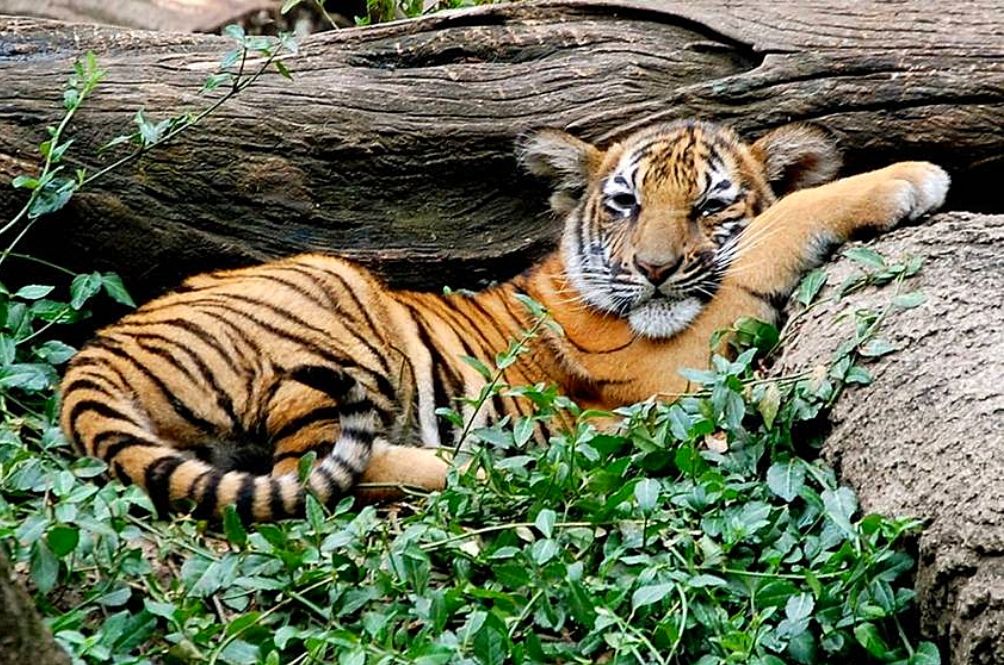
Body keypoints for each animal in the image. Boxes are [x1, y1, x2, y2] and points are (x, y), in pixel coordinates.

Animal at [59, 120, 949, 522]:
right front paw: (910, 177)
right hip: (333, 304)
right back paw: (519, 467)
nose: (656, 269)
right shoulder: (676, 360)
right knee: (312, 470)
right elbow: (772, 235)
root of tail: (90, 359)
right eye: (625, 204)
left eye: (707, 205)